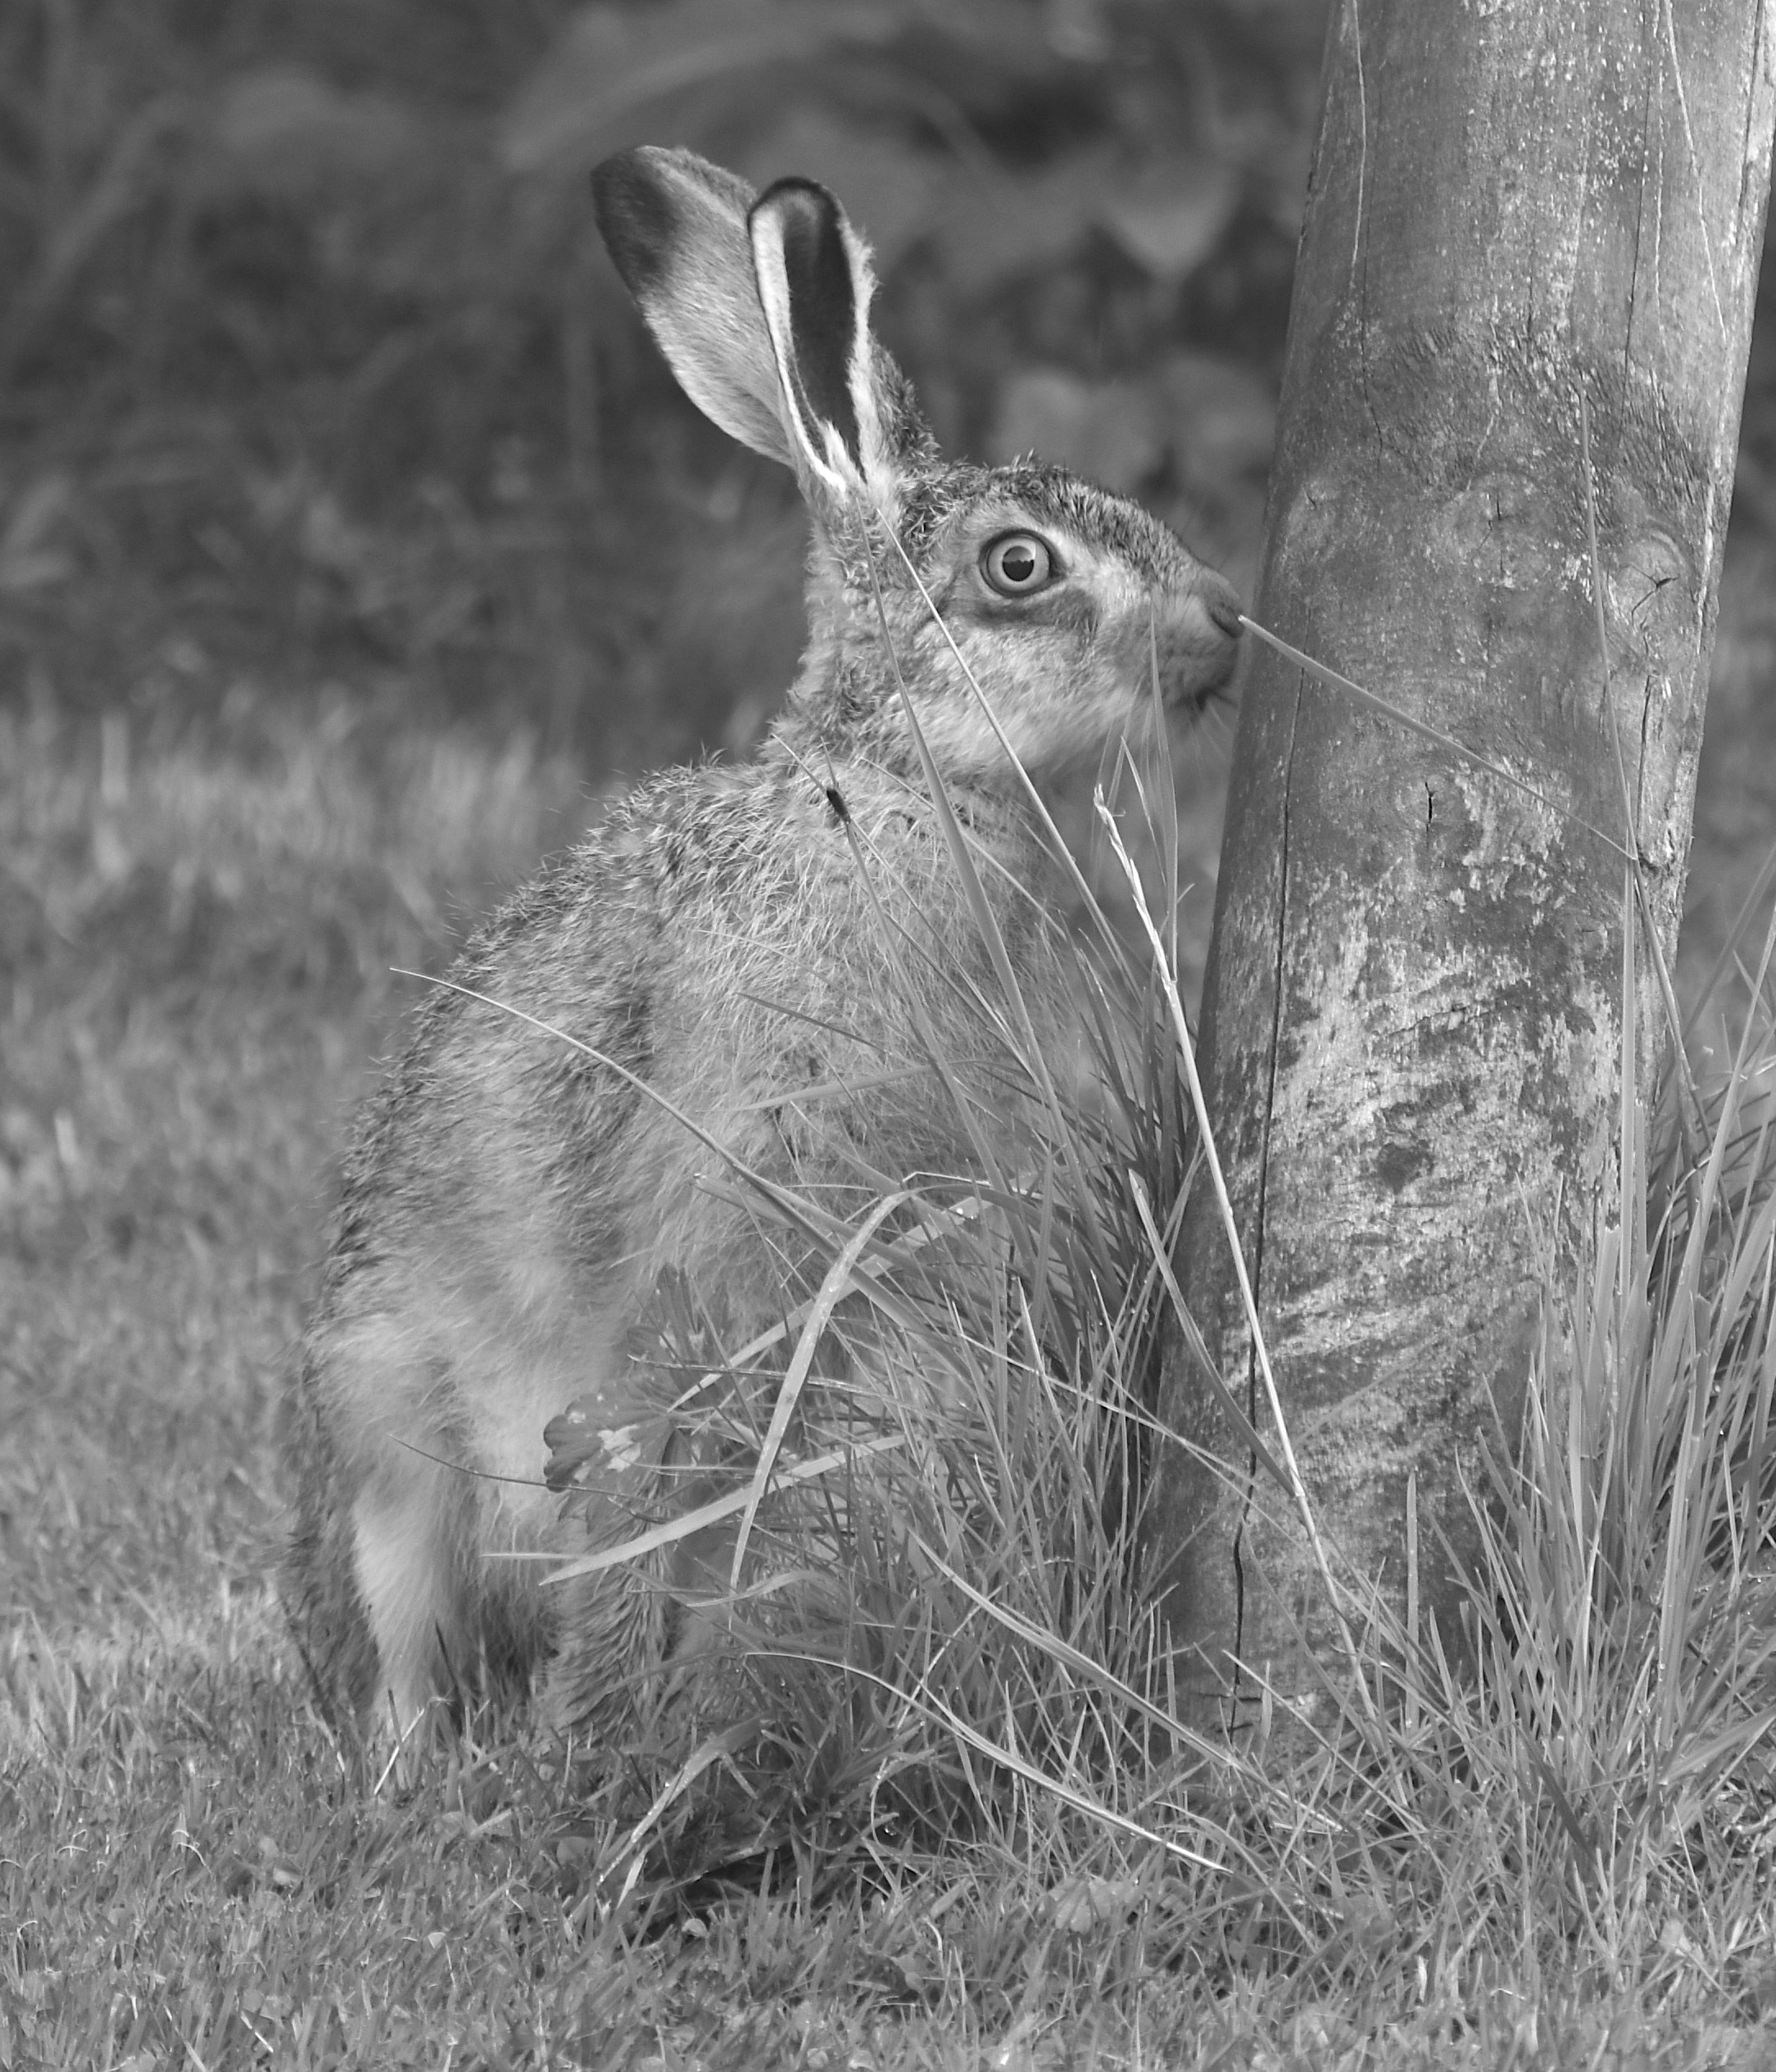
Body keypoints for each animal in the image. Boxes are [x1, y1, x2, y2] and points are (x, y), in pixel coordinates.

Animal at [278, 143, 1242, 1765]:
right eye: (1020, 565)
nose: (1224, 628)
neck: (889, 789)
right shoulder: (744, 1166)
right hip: (387, 1420)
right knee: (410, 1621)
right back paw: (420, 1763)